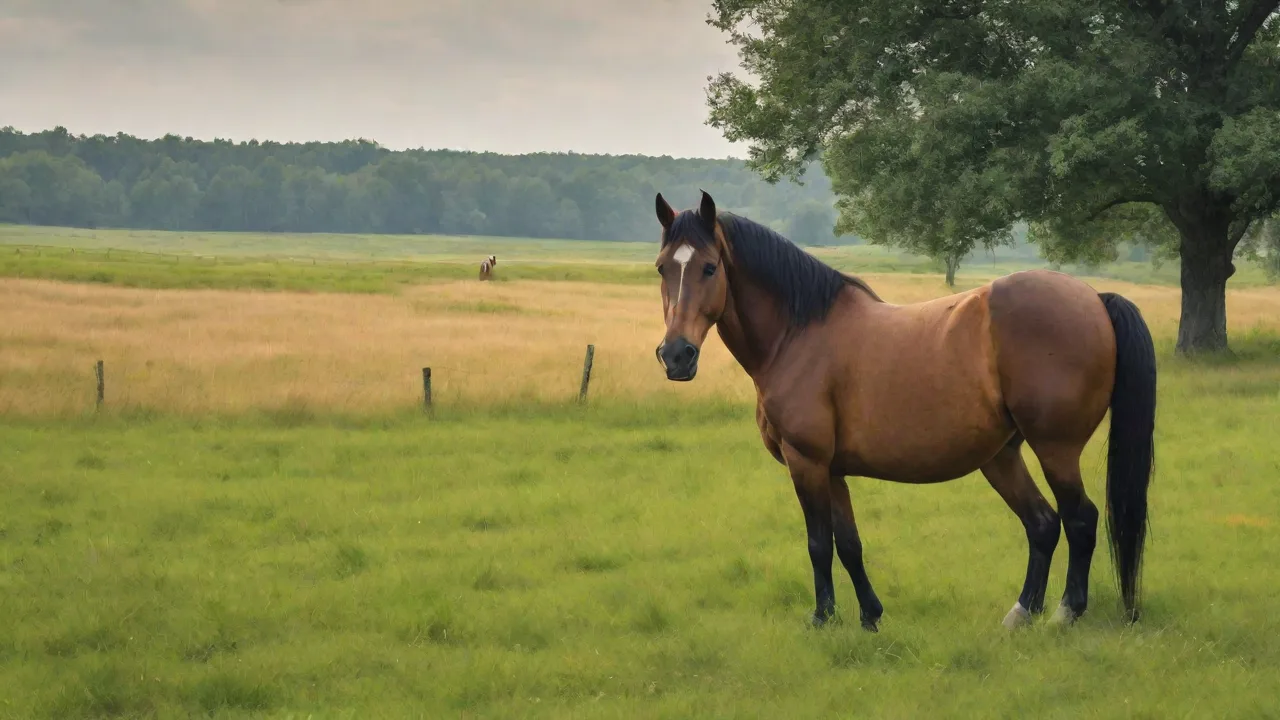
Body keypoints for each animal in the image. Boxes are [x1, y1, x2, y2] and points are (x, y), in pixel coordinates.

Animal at [652, 191, 1156, 631]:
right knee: (1043, 524)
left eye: (710, 268)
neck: (797, 335)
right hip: (1001, 456)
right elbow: (848, 544)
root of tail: (1093, 298)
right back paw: (1020, 614)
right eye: (661, 268)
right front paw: (870, 617)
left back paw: (1065, 613)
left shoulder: (806, 461)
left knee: (1079, 520)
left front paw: (822, 618)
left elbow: (818, 544)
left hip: (1055, 450)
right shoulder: (833, 470)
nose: (676, 355)